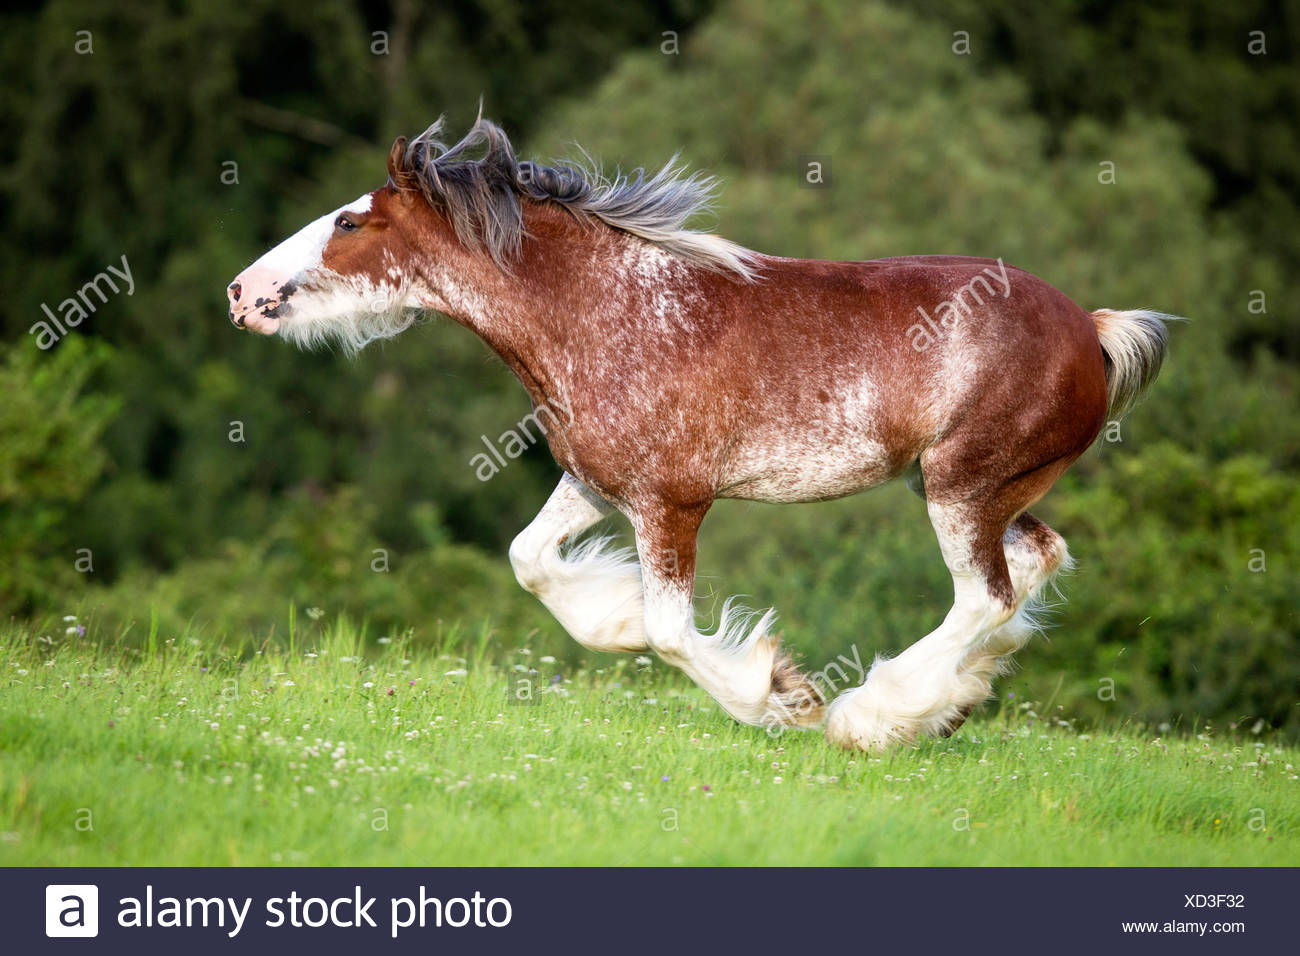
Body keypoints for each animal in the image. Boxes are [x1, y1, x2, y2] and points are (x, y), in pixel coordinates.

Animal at [227, 115, 1178, 751]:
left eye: (351, 221)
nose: (241, 293)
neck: (609, 310)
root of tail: (1095, 329)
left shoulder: (672, 502)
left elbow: (673, 631)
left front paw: (780, 694)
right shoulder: (596, 483)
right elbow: (535, 563)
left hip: (962, 485)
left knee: (988, 595)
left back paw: (867, 717)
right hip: (985, 485)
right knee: (1036, 561)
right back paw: (947, 706)